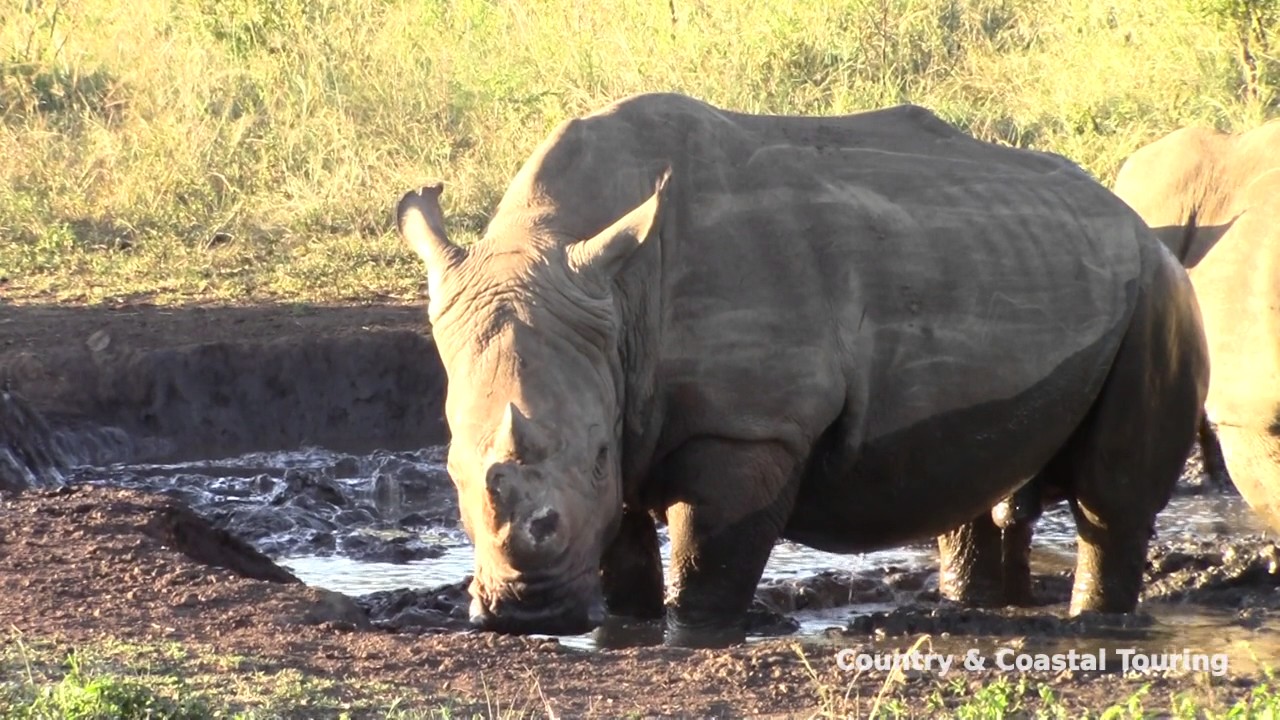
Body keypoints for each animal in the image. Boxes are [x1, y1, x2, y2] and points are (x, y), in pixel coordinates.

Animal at [396, 92, 1209, 639]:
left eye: (595, 456)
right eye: (452, 474)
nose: (520, 613)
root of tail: (1130, 213)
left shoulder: (749, 428)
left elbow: (708, 555)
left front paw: (695, 635)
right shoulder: (618, 385)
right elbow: (621, 549)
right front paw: (624, 627)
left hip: (1158, 293)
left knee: (1112, 501)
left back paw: (1095, 624)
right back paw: (979, 607)